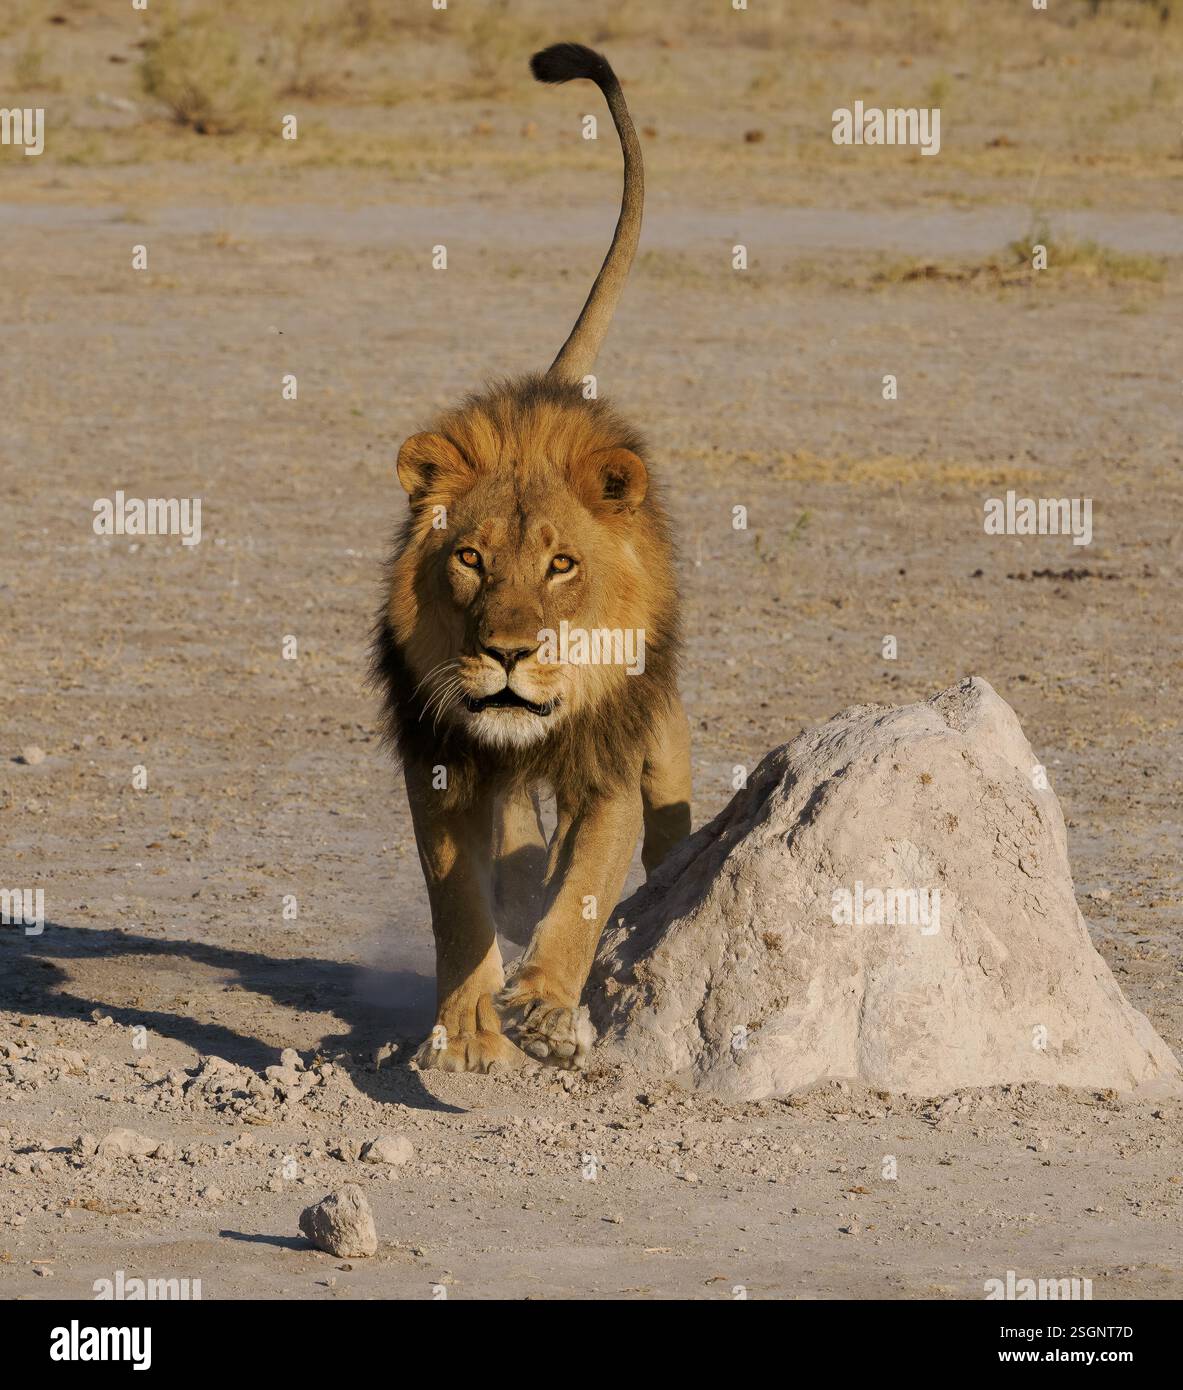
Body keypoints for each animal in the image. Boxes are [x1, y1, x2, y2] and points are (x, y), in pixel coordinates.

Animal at [372, 42, 691, 1073]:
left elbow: (586, 885)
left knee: (660, 823)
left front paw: (547, 1007)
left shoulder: (608, 763)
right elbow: (458, 905)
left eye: (561, 566)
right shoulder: (439, 765)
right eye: (469, 559)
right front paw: (471, 1026)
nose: (508, 654)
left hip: (657, 729)